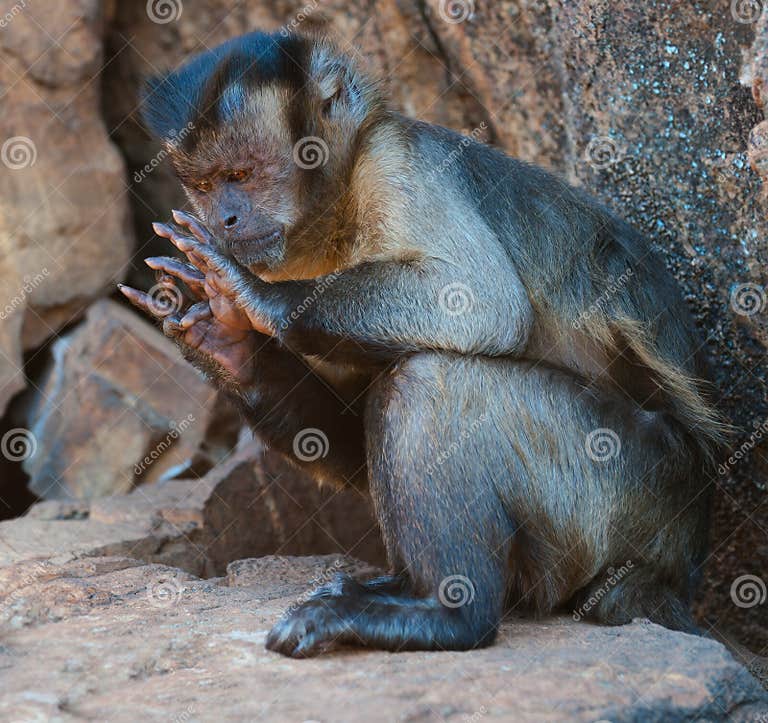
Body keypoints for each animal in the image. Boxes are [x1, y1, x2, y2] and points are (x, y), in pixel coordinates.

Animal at [119, 30, 726, 658]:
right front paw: (229, 346)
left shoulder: (395, 161)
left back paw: (445, 613)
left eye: (242, 174)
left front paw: (257, 298)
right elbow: (343, 439)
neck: (340, 206)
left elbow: (480, 301)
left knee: (433, 377)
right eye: (205, 185)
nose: (227, 219)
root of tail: (680, 562)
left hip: (632, 488)